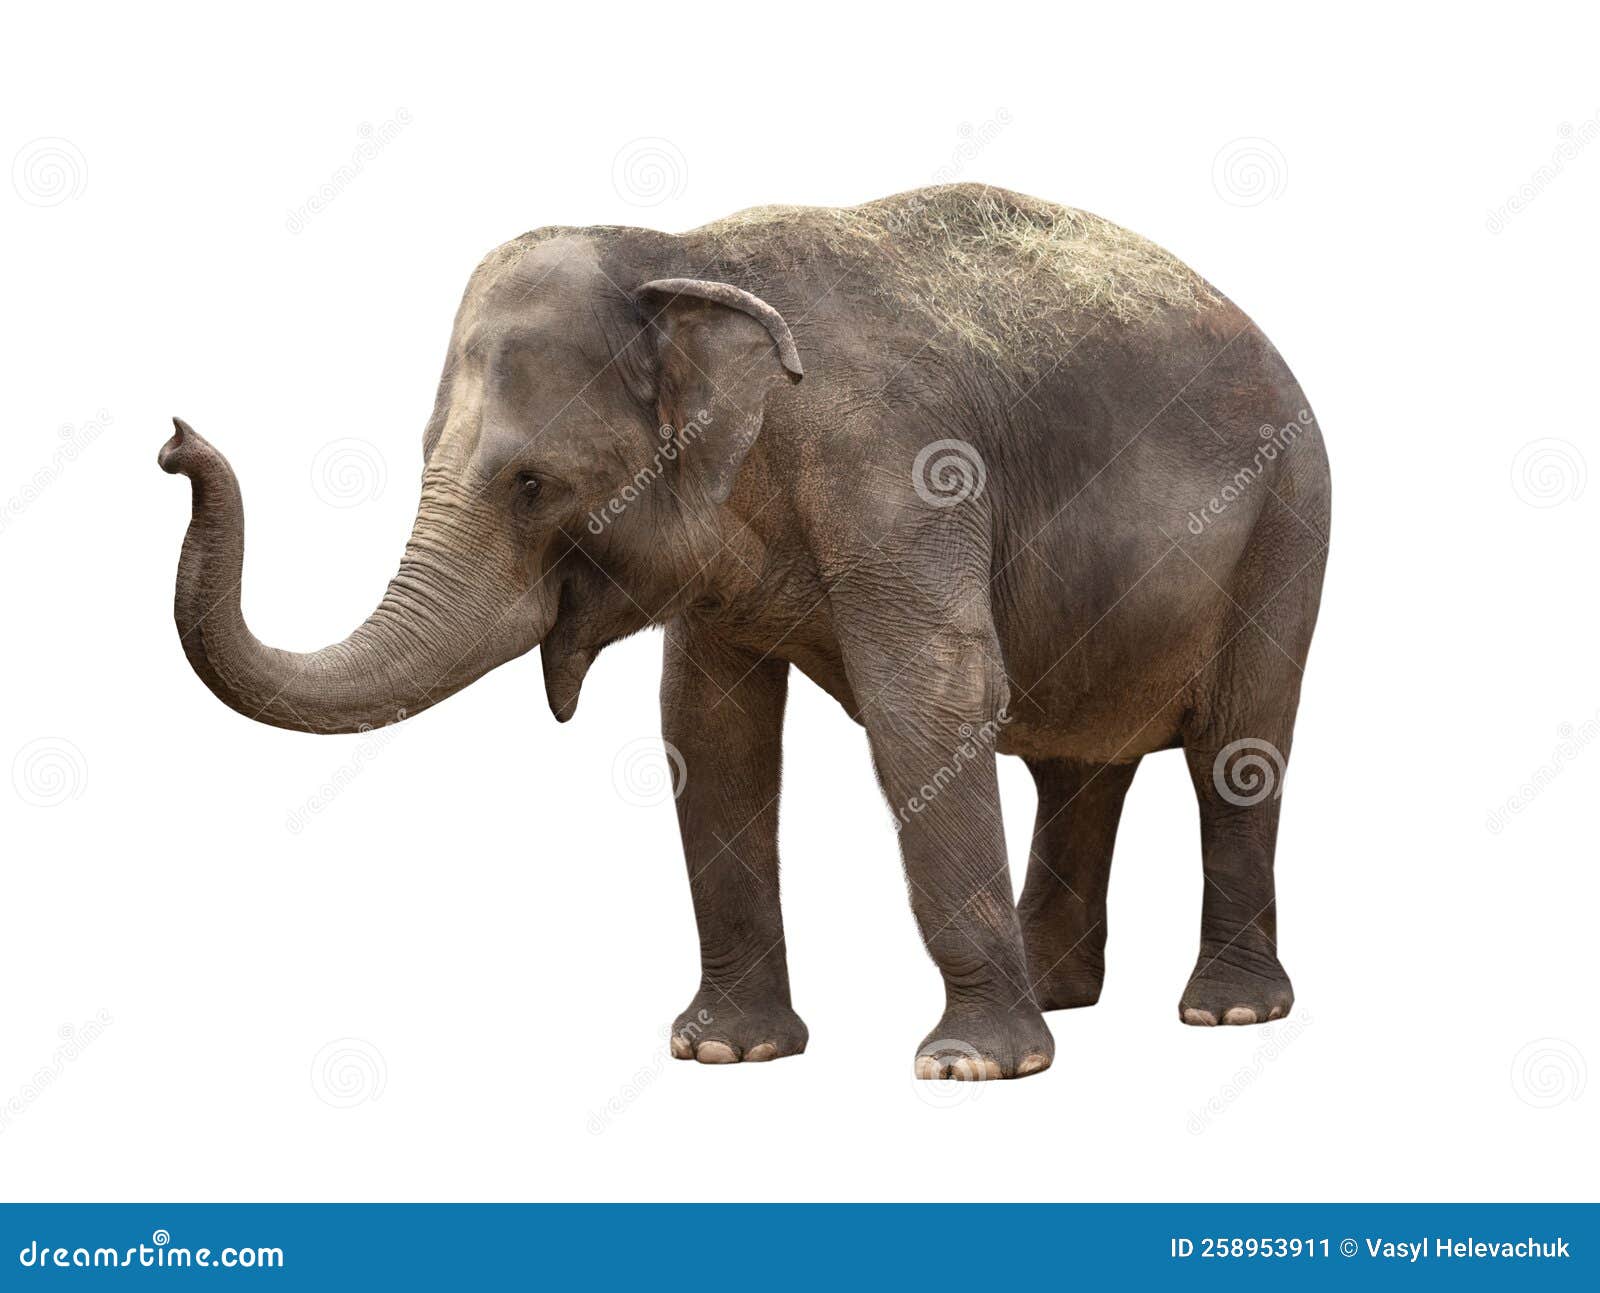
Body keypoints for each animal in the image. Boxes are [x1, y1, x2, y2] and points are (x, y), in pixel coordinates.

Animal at [159, 183, 1329, 1081]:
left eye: (532, 483)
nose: (174, 442)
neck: (686, 256)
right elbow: (707, 732)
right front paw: (723, 1052)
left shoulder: (902, 470)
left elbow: (931, 704)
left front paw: (970, 1067)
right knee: (1078, 762)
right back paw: (1059, 991)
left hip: (1287, 524)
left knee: (1235, 752)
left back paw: (1224, 1013)